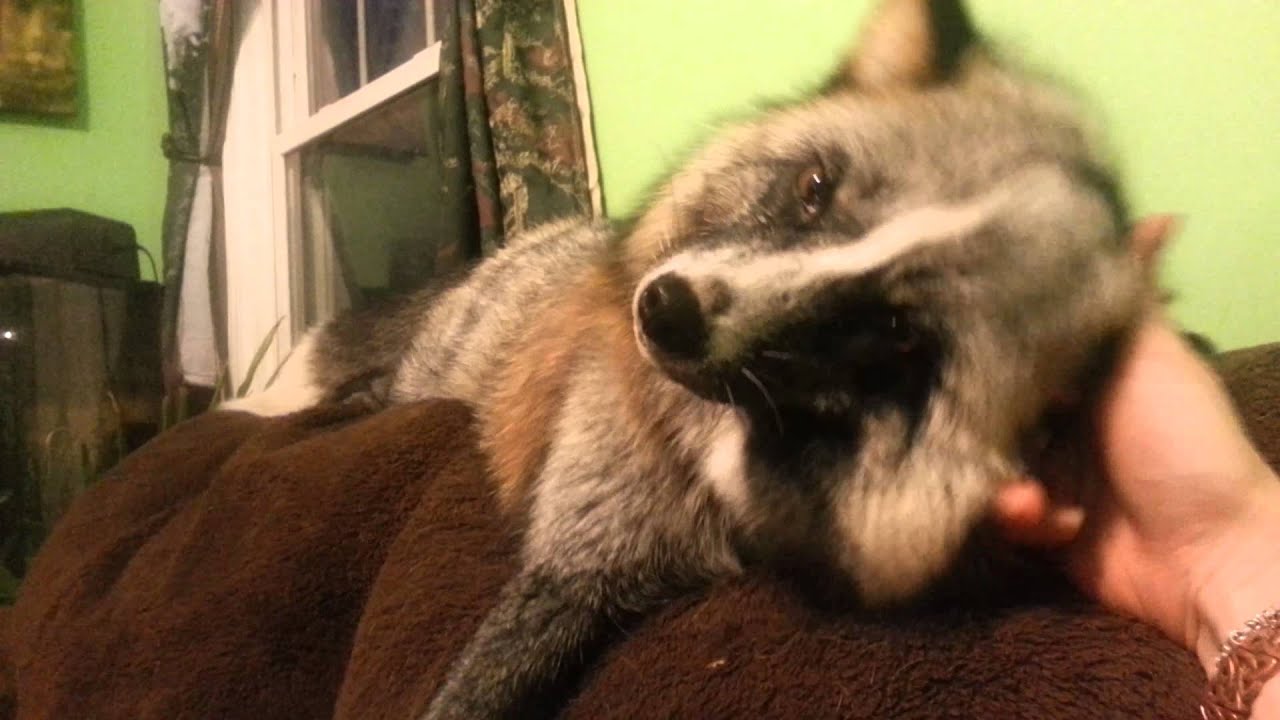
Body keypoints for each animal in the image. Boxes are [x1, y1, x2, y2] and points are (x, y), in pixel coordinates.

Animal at [224, 0, 1164, 716]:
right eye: (813, 188)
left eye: (899, 335)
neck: (707, 458)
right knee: (377, 385)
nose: (663, 309)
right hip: (435, 373)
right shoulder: (575, 559)